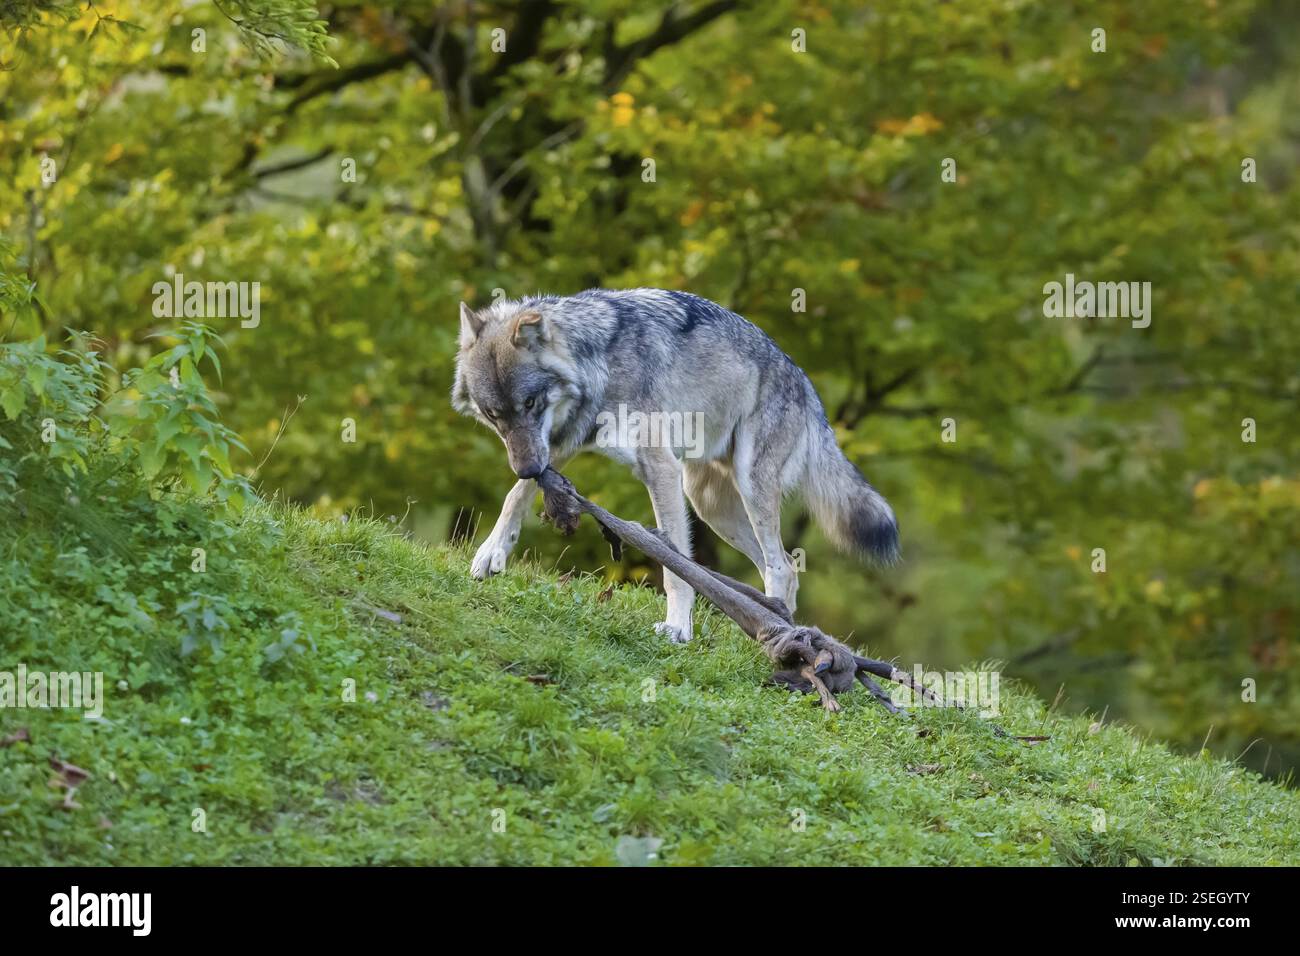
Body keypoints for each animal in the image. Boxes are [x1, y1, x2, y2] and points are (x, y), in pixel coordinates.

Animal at [452, 288, 899, 643]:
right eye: (493, 415)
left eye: (530, 402)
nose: (525, 467)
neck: (601, 359)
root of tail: (805, 382)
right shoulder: (559, 446)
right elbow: (515, 495)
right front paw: (492, 552)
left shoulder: (659, 467)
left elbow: (675, 564)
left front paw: (678, 627)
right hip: (708, 504)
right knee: (782, 566)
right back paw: (775, 625)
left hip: (746, 487)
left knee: (782, 566)